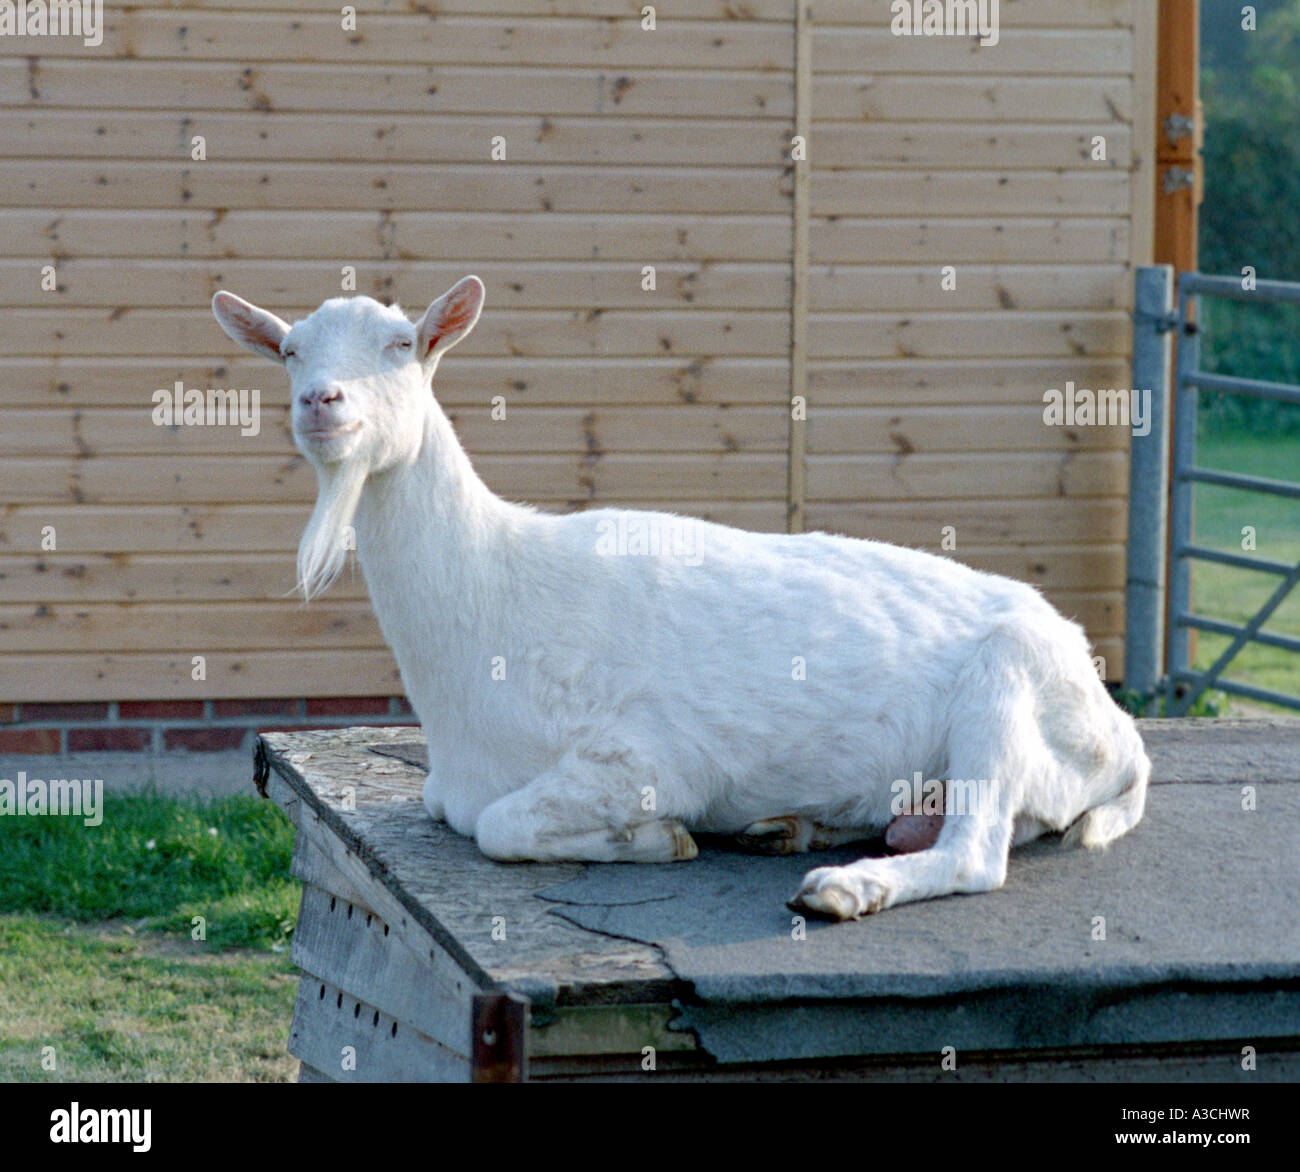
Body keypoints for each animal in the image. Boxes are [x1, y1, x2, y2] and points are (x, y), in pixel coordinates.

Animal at [212, 277, 1150, 920]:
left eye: (403, 343)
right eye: (290, 350)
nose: (321, 402)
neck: (495, 596)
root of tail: (1122, 734)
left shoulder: (645, 757)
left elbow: (503, 826)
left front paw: (662, 839)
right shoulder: (451, 785)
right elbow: (465, 814)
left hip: (1006, 690)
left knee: (976, 852)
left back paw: (840, 888)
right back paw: (794, 828)